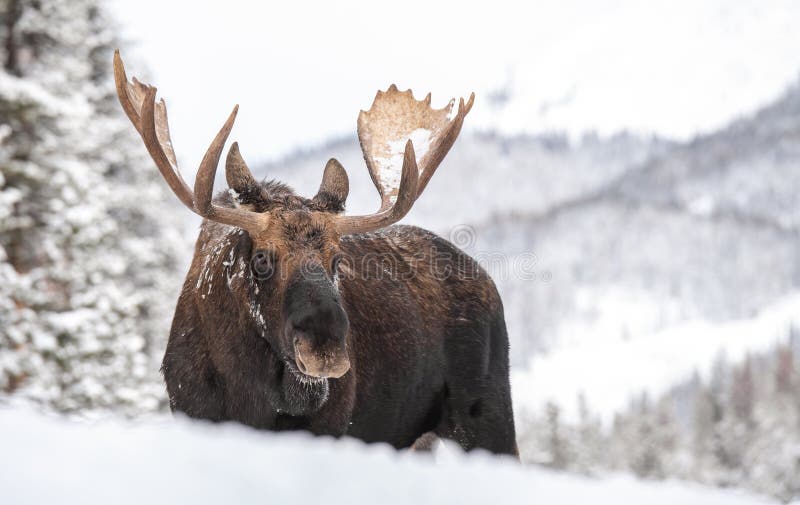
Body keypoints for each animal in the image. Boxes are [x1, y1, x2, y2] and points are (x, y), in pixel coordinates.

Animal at [113, 51, 517, 456]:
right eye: (261, 257)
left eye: (337, 259)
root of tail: (488, 280)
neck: (249, 387)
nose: (325, 348)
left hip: (487, 416)